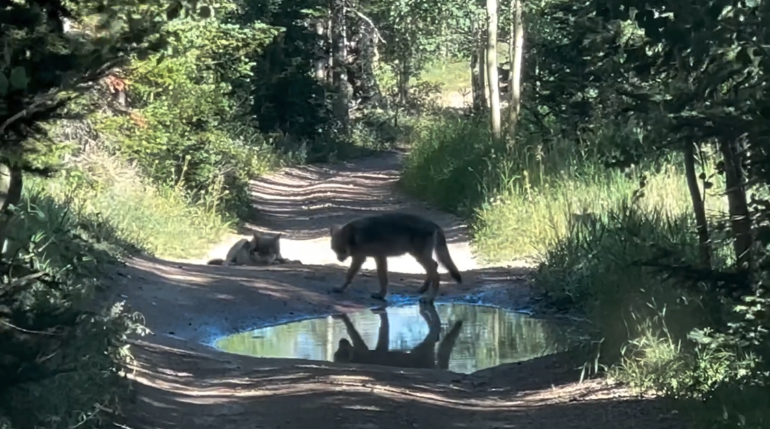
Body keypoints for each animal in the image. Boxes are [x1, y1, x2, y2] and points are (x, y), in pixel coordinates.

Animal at [329, 212, 462, 303]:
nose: (339, 259)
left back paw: (429, 299)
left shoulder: (359, 259)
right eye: (334, 250)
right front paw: (381, 295)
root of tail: (435, 225)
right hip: (419, 256)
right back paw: (422, 289)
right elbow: (383, 279)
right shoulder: (380, 257)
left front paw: (339, 289)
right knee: (434, 266)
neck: (353, 236)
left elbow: (349, 275)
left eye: (339, 250)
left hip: (419, 256)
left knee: (436, 274)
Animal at [333, 302, 464, 370]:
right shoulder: (369, 349)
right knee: (435, 328)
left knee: (435, 328)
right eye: (339, 350)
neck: (356, 357)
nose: (342, 341)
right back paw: (426, 308)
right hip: (423, 348)